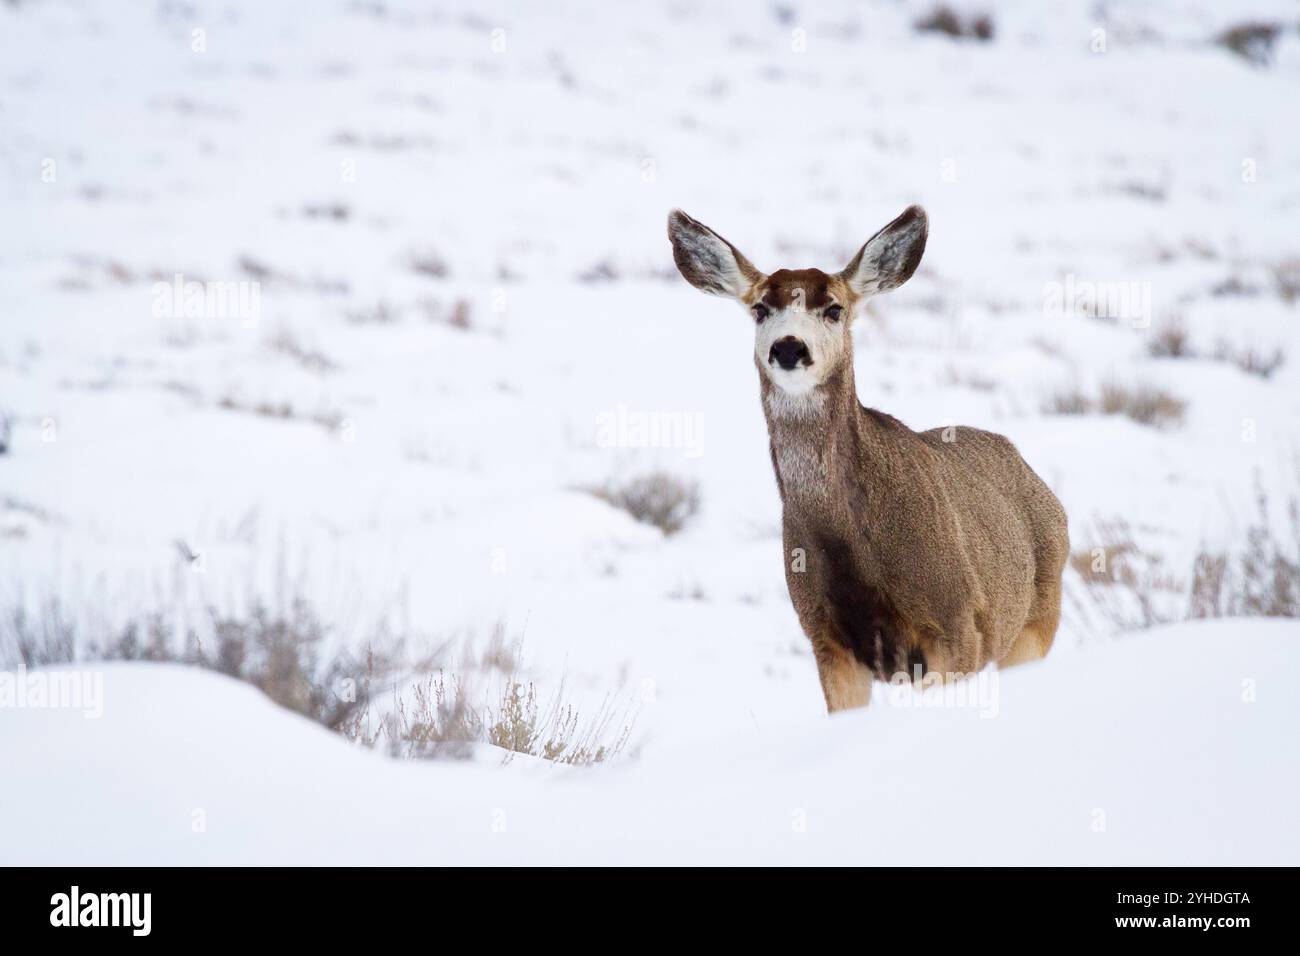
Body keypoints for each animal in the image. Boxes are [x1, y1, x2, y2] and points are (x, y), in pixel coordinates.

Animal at [667, 205, 1069, 713]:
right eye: (759, 309)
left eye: (834, 308)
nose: (789, 347)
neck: (852, 548)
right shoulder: (826, 639)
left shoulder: (958, 622)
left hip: (1035, 620)